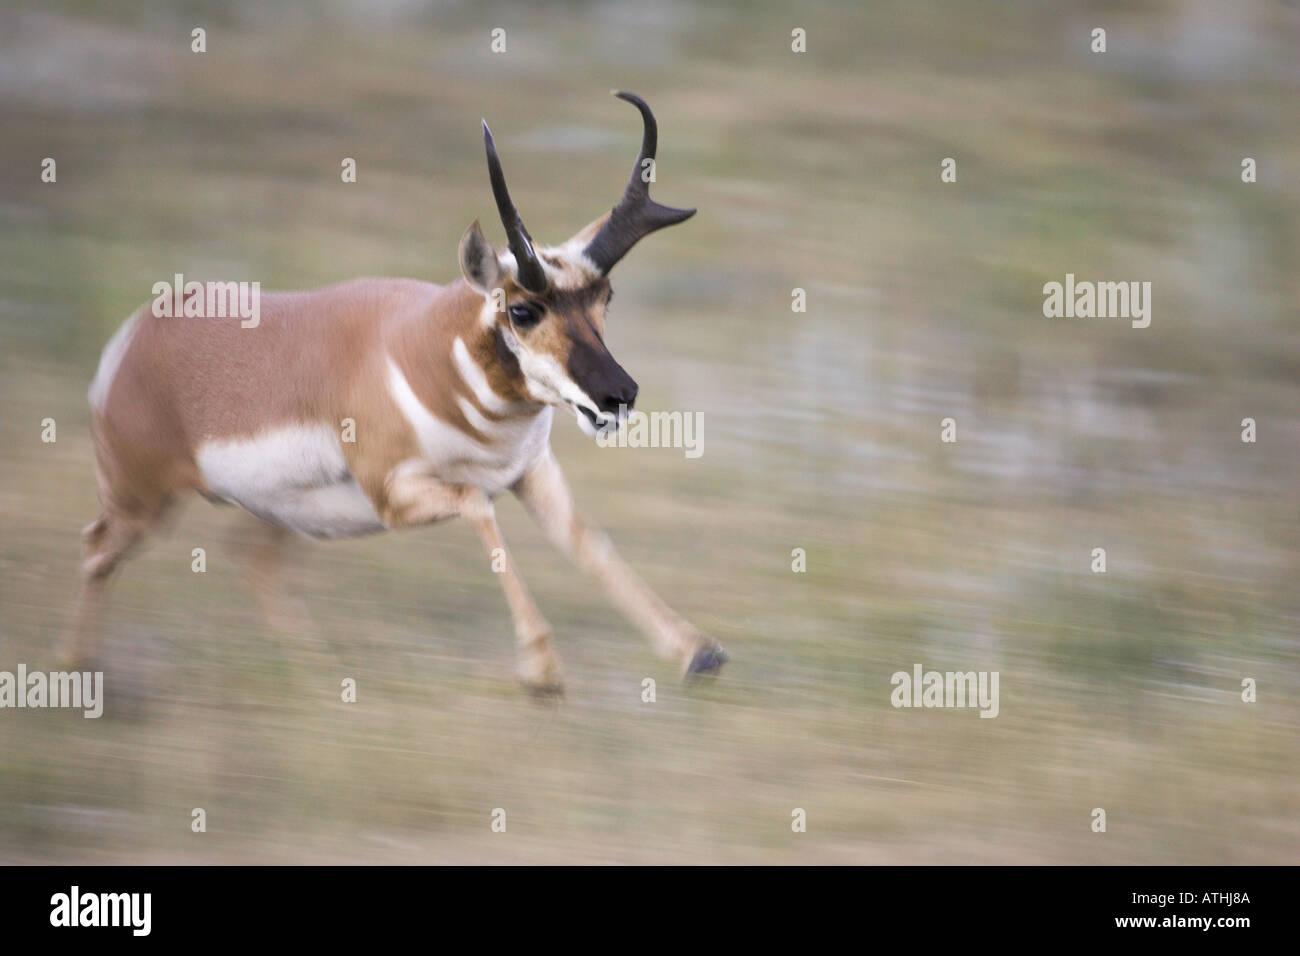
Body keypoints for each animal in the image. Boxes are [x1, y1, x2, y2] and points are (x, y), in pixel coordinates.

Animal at [71, 92, 728, 694]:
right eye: (522, 309)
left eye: (604, 298)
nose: (619, 395)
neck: (423, 350)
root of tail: (139, 335)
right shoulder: (397, 496)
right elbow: (480, 509)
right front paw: (542, 671)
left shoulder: (531, 474)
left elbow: (587, 540)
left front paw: (700, 652)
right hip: (142, 503)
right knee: (97, 548)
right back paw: (82, 671)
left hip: (277, 516)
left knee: (251, 561)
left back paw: (318, 668)